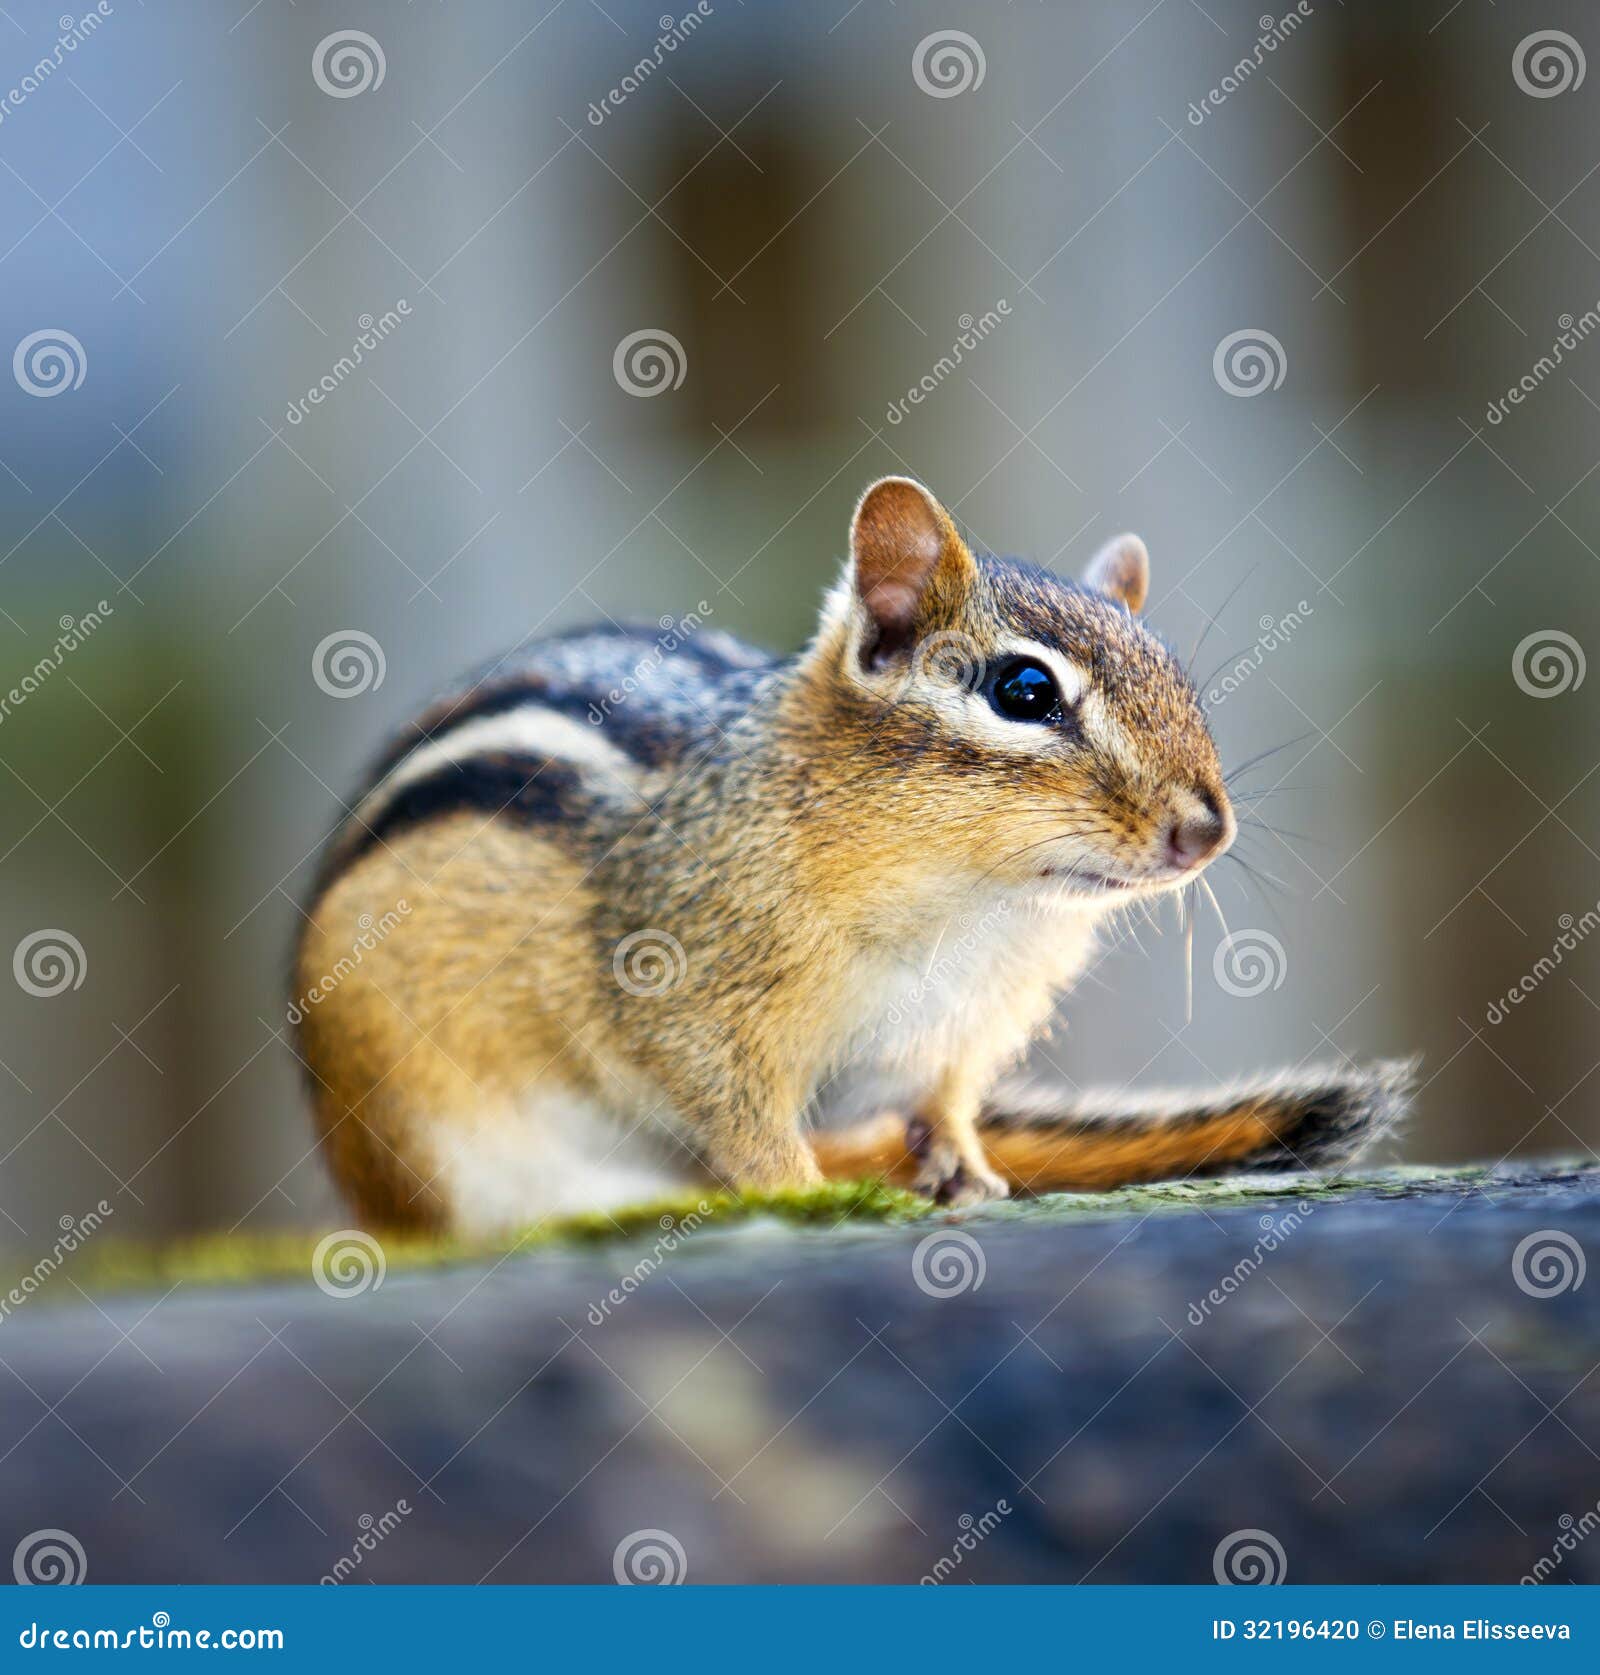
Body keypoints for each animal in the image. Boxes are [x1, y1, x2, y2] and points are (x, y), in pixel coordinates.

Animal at [292, 476, 1410, 1233]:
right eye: (1024, 692)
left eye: (1176, 674)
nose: (1206, 829)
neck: (975, 906)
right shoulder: (685, 998)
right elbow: (739, 1118)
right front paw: (805, 1191)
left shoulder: (960, 1030)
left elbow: (944, 1103)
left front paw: (965, 1168)